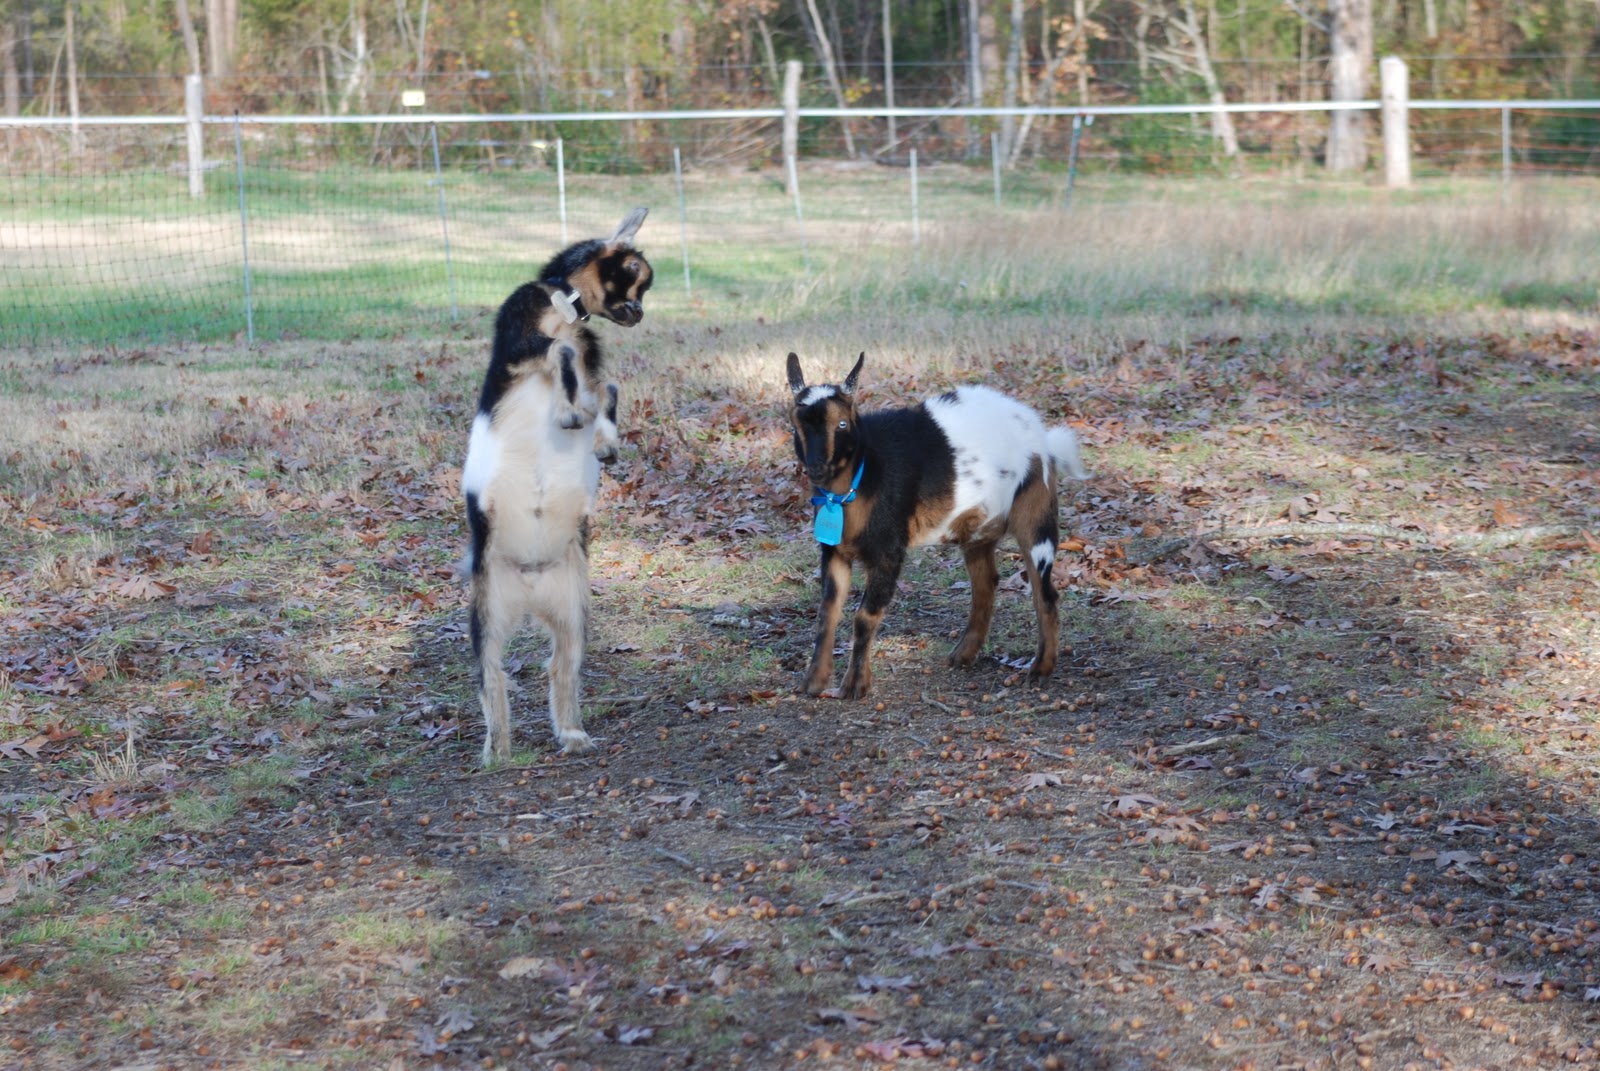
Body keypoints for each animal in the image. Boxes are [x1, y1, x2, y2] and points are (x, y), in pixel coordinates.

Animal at [462, 208, 653, 762]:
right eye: (632, 271)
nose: (638, 313)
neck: (562, 304)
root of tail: (529, 583)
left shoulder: (591, 368)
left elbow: (606, 385)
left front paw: (604, 440)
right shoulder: (518, 343)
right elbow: (561, 351)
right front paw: (569, 414)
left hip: (571, 607)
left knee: (560, 667)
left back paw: (571, 734)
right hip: (487, 610)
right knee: (492, 675)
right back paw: (497, 751)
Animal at [786, 352, 1087, 700]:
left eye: (843, 423)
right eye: (796, 424)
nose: (817, 468)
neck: (865, 470)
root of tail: (1043, 437)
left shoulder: (889, 549)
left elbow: (865, 615)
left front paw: (855, 685)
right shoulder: (834, 550)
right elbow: (827, 611)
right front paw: (814, 681)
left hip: (1035, 514)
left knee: (1044, 592)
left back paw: (1041, 669)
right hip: (979, 530)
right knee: (985, 584)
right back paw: (963, 655)